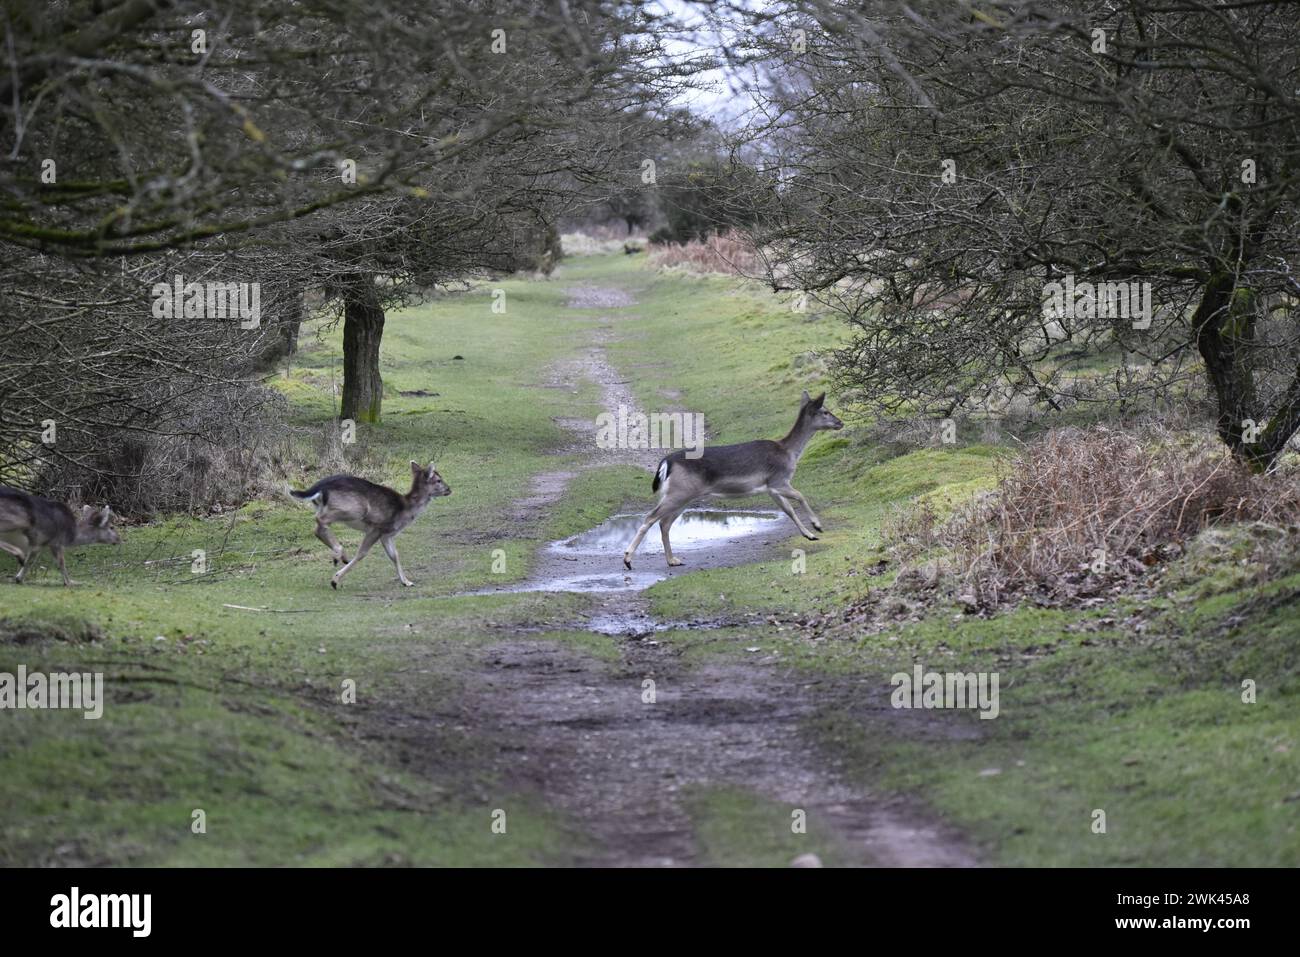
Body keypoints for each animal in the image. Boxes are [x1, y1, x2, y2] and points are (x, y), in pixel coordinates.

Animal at [290, 461, 450, 590]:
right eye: (438, 480)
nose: (449, 489)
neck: (405, 510)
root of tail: (319, 487)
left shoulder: (387, 534)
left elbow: (394, 555)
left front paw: (406, 582)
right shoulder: (377, 527)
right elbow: (362, 553)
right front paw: (335, 580)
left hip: (327, 508)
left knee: (317, 528)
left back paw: (341, 555)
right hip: (354, 509)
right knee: (320, 520)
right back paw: (338, 553)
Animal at [623, 391, 844, 570]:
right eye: (825, 411)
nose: (840, 422)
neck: (789, 453)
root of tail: (666, 463)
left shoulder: (770, 488)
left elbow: (788, 510)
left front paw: (810, 534)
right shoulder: (778, 479)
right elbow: (801, 496)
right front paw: (817, 526)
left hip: (681, 495)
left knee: (664, 523)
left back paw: (672, 560)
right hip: (680, 492)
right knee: (650, 517)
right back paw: (628, 560)